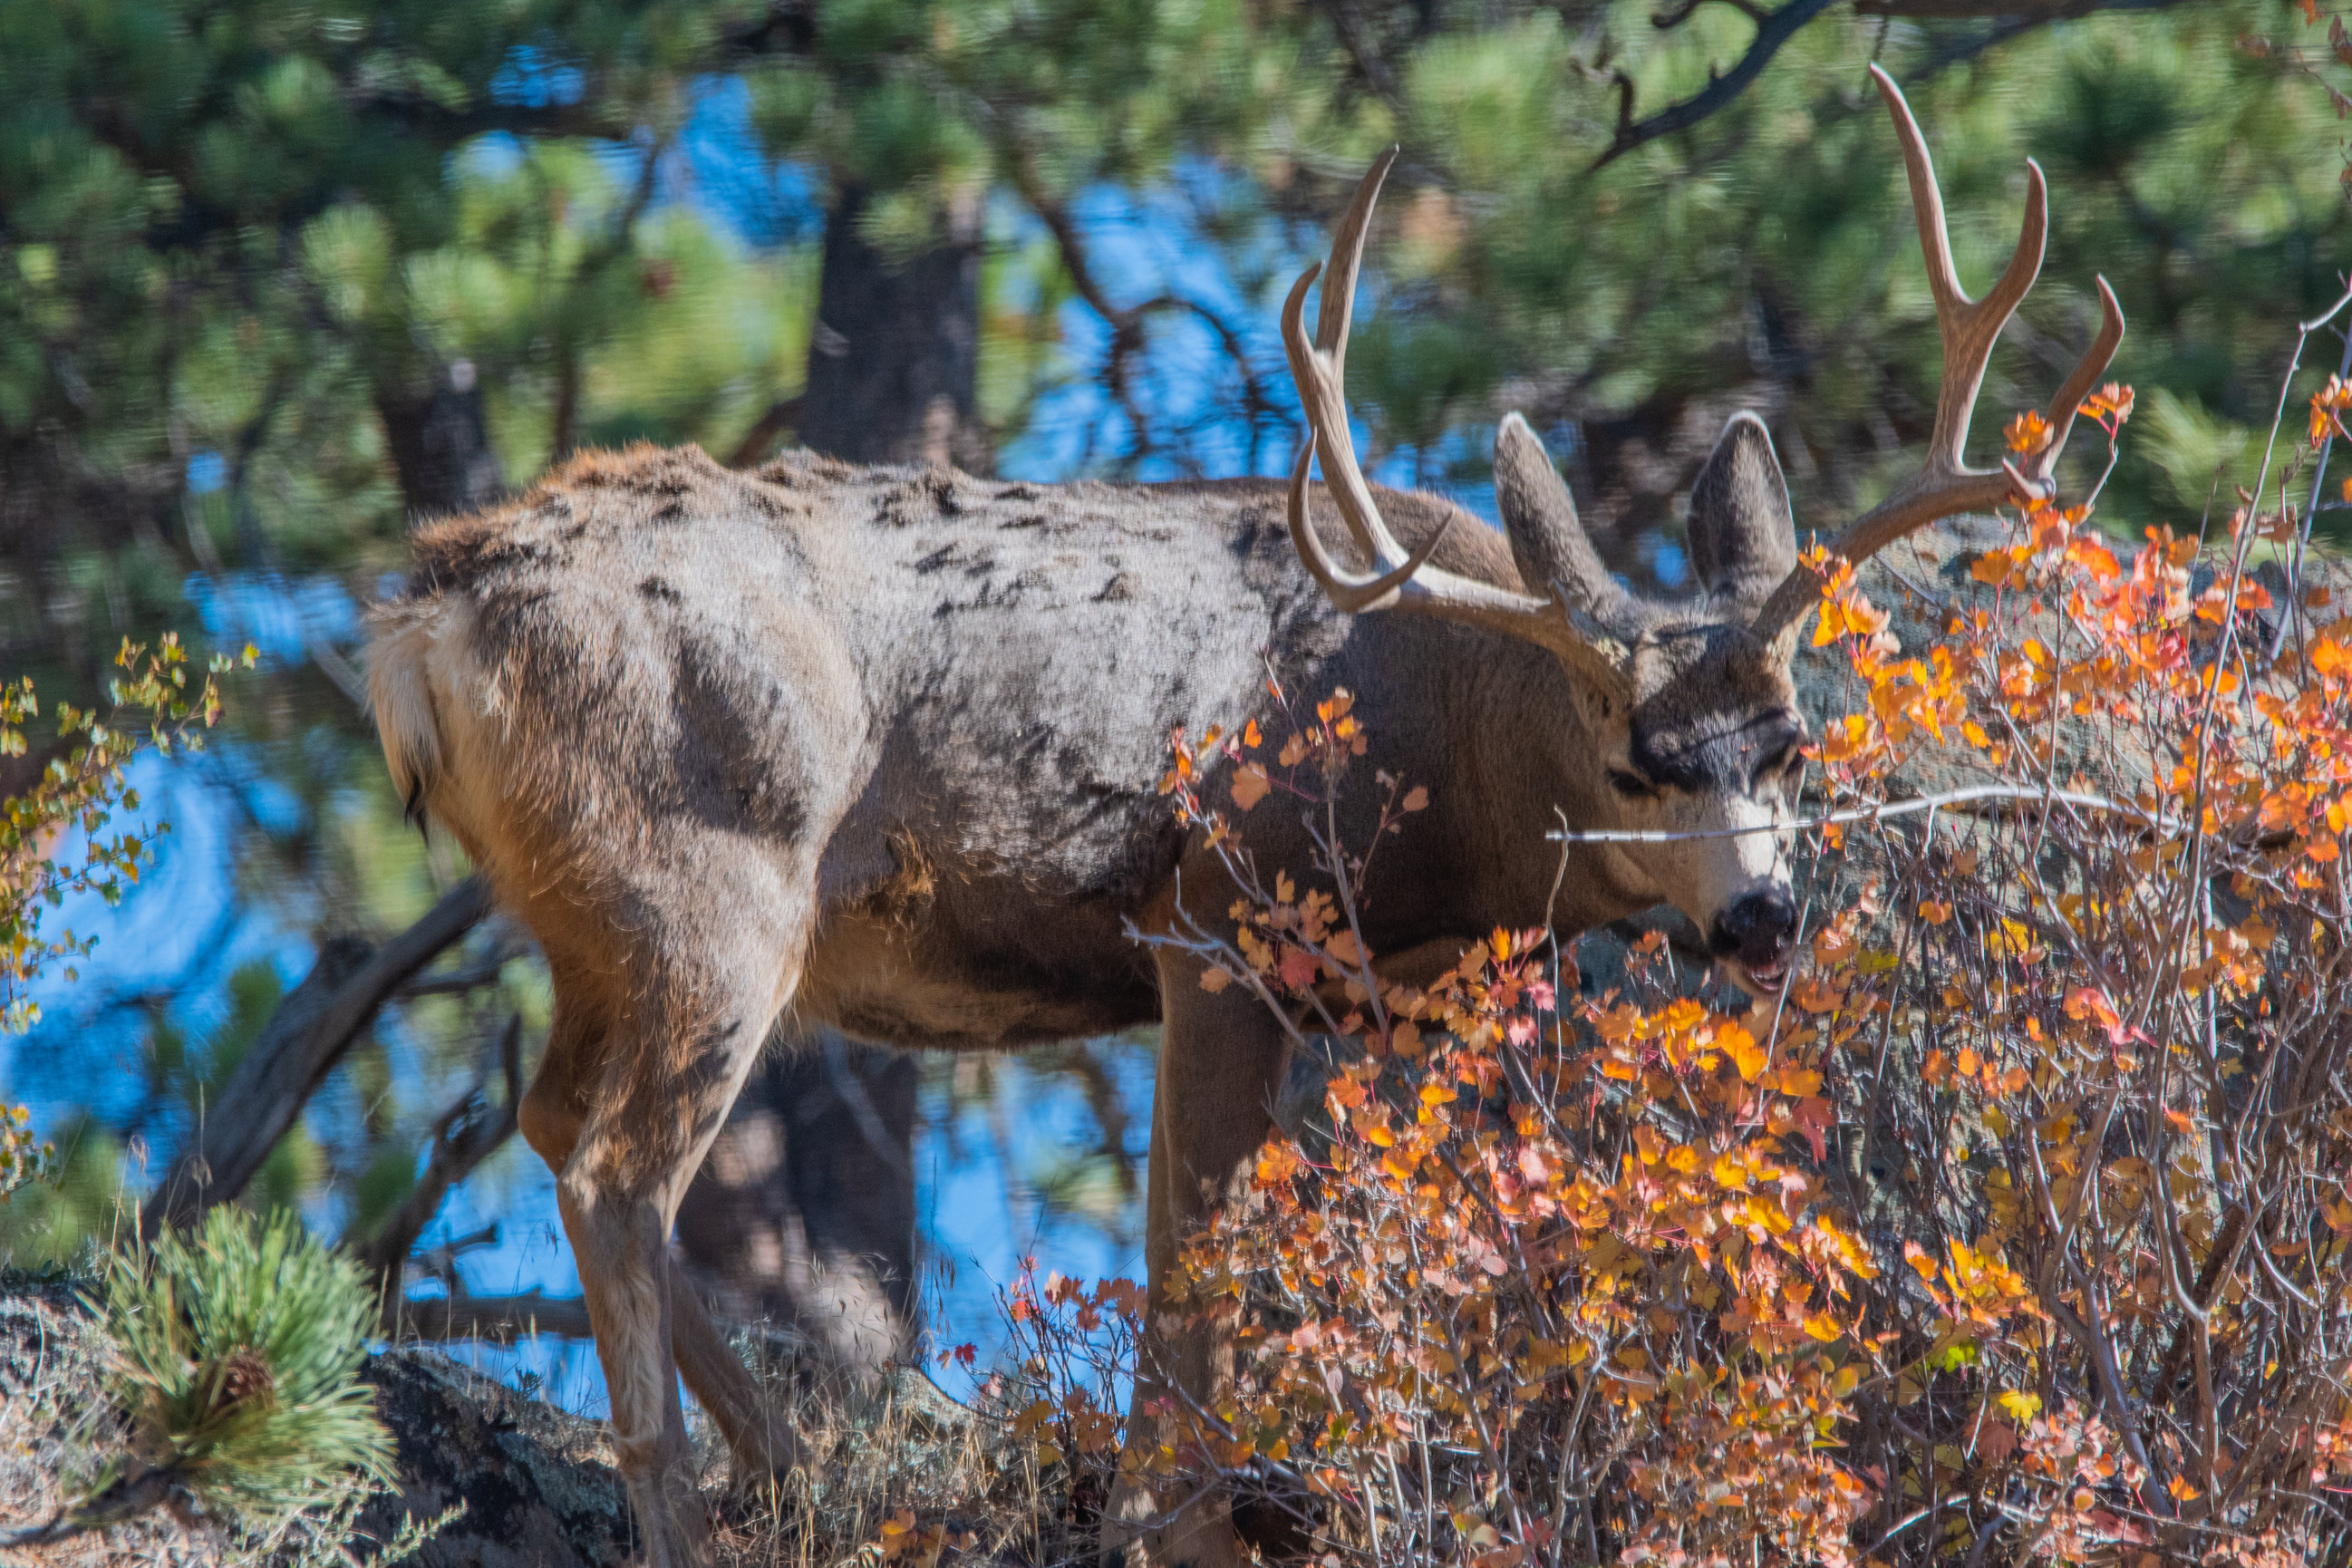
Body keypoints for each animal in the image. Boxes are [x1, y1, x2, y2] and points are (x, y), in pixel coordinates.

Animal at [365, 66, 2119, 1568]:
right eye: (1634, 764)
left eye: (1798, 749)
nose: (1761, 917)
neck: (1448, 744)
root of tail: (421, 624)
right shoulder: (1218, 920)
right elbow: (1193, 1267)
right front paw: (1173, 1521)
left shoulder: (1380, 989)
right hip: (711, 882)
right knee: (616, 1174)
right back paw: (697, 1511)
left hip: (596, 919)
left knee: (552, 1125)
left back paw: (809, 1478)